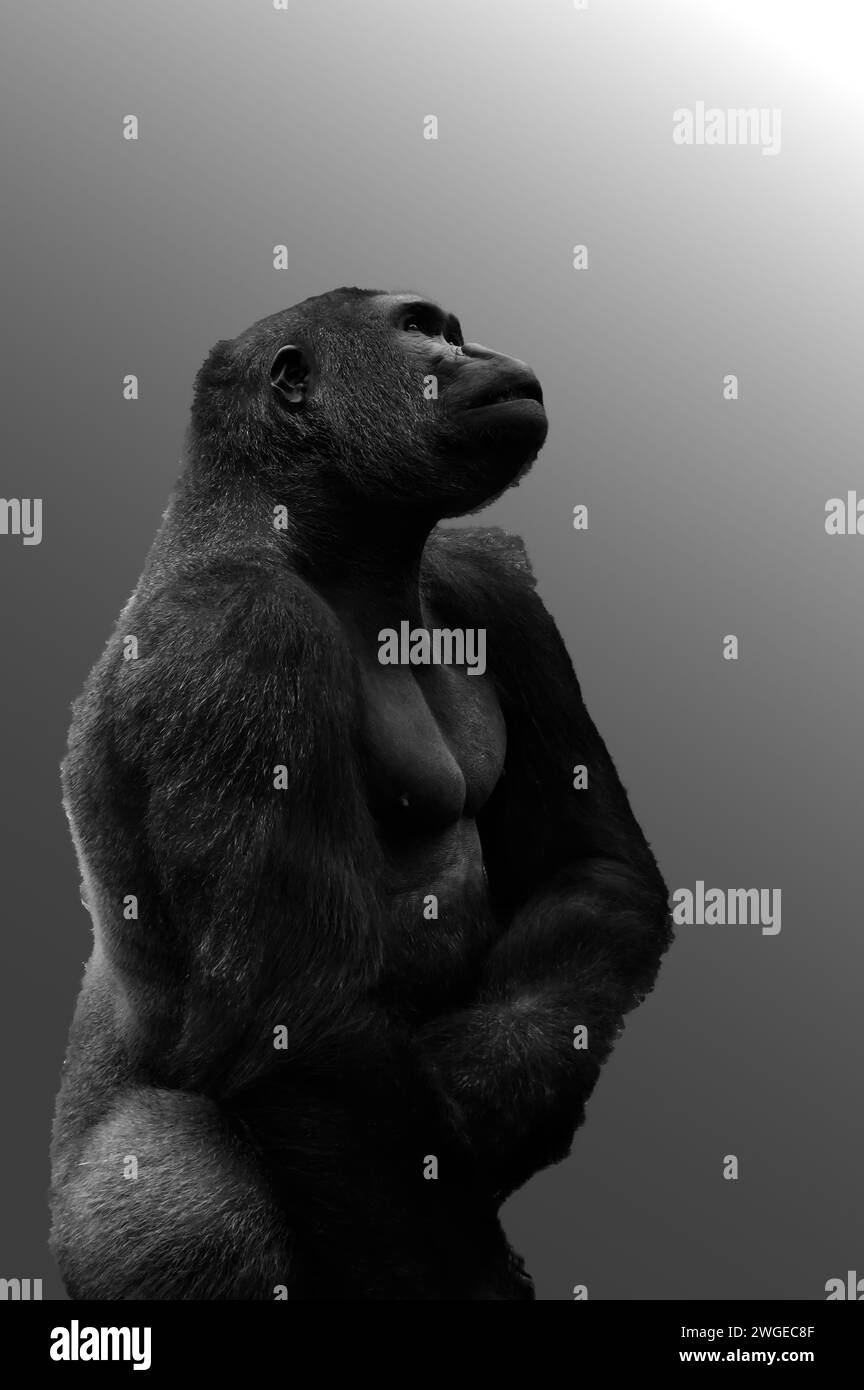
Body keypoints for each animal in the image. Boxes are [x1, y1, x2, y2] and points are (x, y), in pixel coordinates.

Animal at [50, 287, 672, 1300]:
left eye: (451, 332)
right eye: (420, 329)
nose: (482, 351)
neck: (317, 540)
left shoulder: (490, 584)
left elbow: (591, 870)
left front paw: (478, 1088)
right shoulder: (239, 637)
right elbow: (297, 1016)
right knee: (201, 1198)